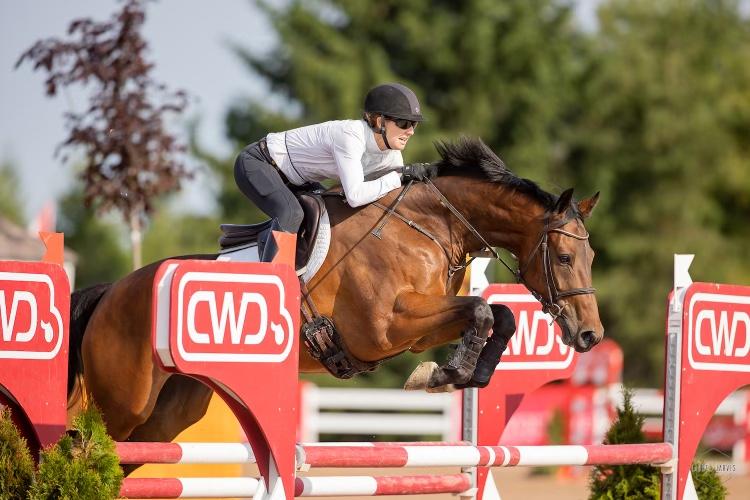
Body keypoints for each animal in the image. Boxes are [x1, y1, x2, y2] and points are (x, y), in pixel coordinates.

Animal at [67, 137, 603, 463]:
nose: (590, 335)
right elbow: (481, 309)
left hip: (167, 415)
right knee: (83, 445)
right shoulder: (386, 329)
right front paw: (442, 375)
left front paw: (465, 373)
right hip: (124, 401)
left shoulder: (419, 327)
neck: (427, 226)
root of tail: (113, 290)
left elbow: (499, 315)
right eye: (562, 258)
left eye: (591, 256)